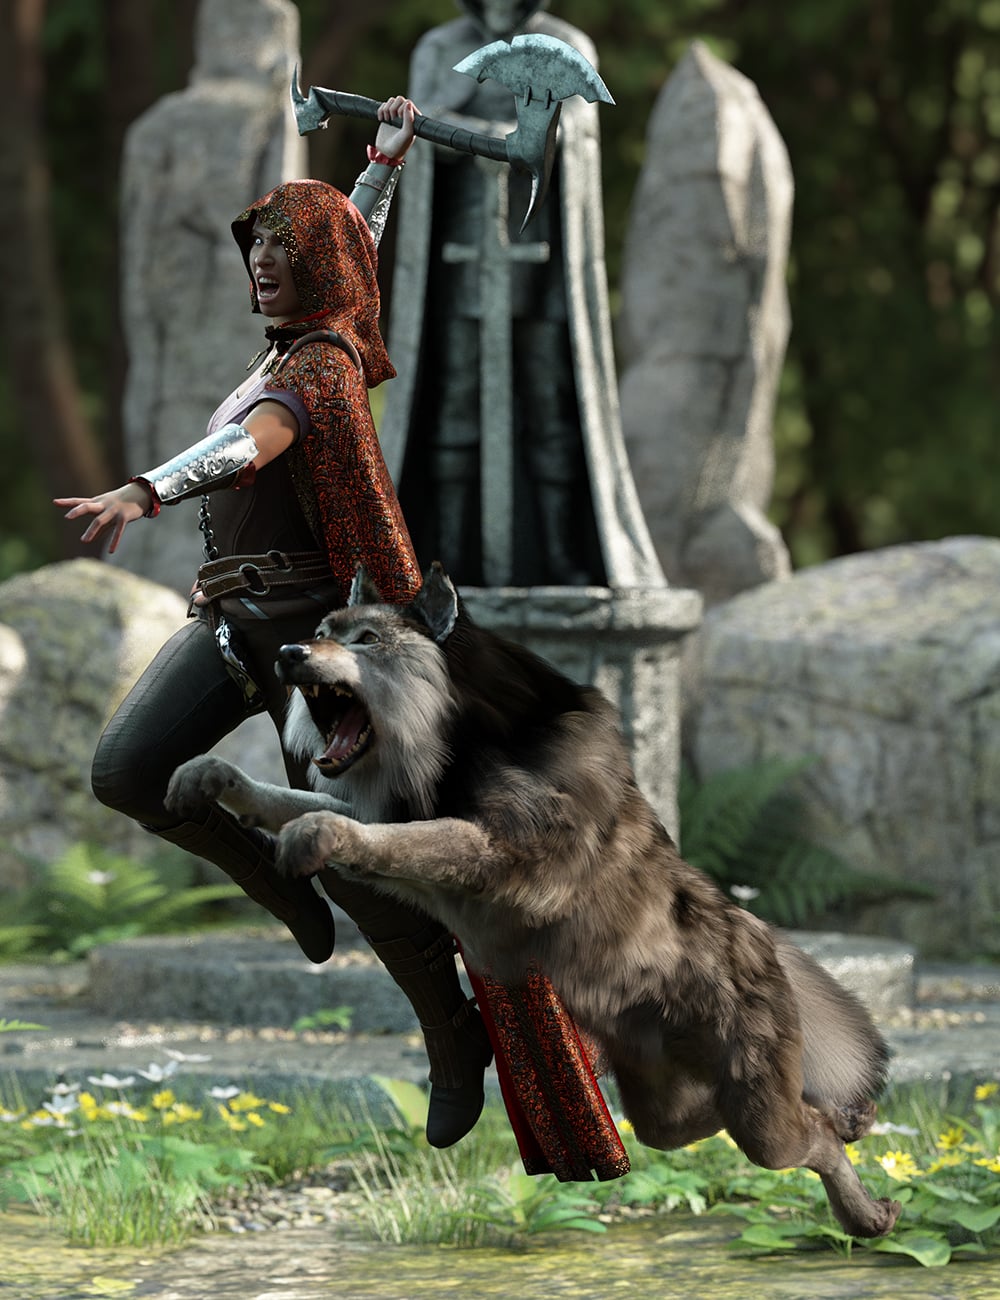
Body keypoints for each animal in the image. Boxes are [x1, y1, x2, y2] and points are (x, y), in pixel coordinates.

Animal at [166, 564, 901, 1239]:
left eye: (367, 639)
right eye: (321, 630)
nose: (289, 652)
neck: (447, 740)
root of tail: (762, 932)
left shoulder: (497, 851)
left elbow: (370, 834)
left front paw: (311, 835)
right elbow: (295, 801)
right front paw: (209, 776)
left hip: (757, 1116)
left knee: (813, 1134)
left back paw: (868, 1207)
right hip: (666, 1111)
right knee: (727, 1125)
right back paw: (860, 1136)